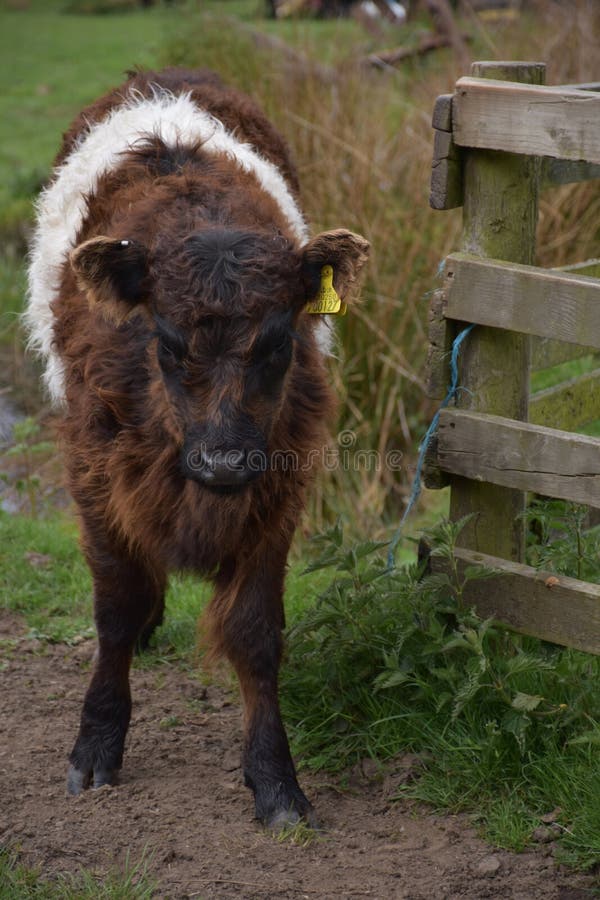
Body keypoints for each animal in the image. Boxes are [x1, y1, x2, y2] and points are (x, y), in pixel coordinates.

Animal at [25, 67, 369, 829]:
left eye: (277, 344)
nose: (222, 462)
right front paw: (97, 744)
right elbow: (116, 609)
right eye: (168, 343)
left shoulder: (279, 486)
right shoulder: (95, 475)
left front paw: (274, 780)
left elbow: (255, 632)